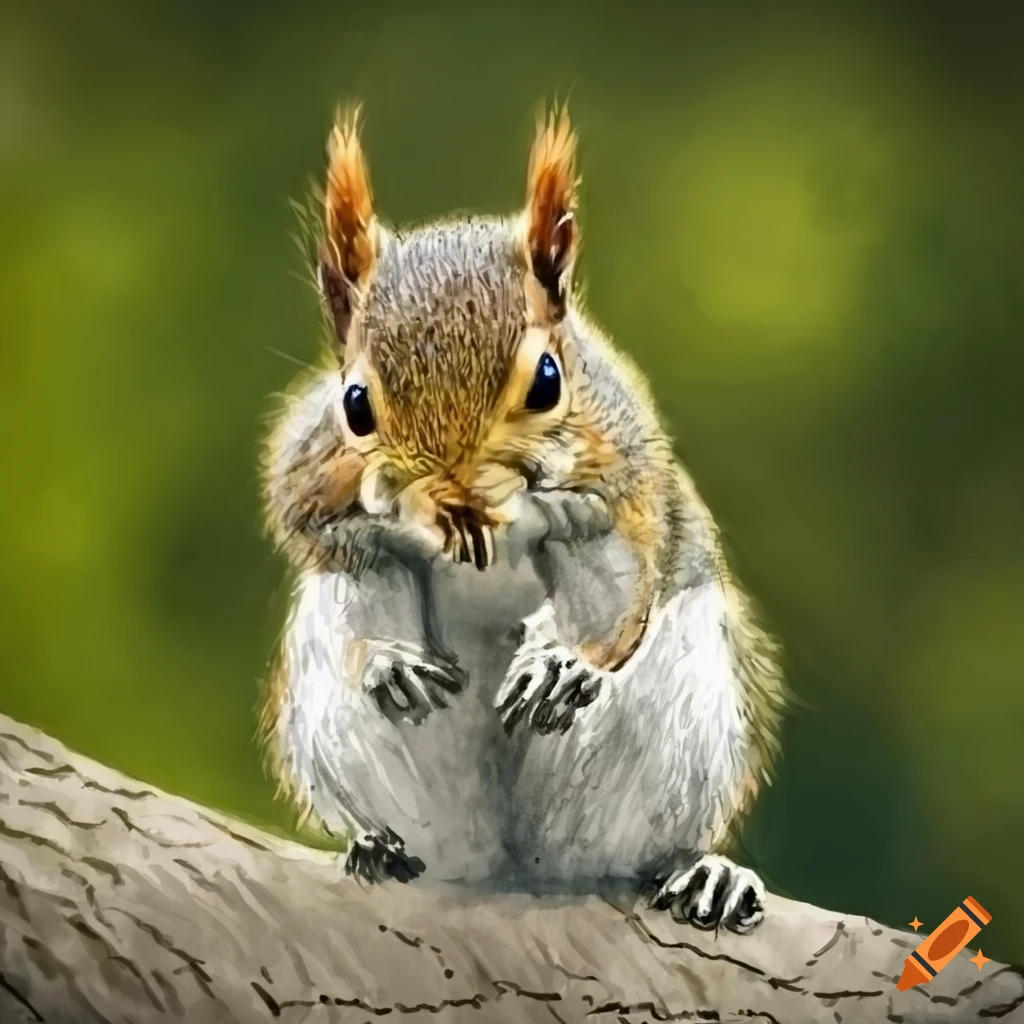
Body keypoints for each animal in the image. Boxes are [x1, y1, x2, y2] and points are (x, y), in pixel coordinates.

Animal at [258, 102, 786, 933]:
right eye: (354, 404)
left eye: (547, 379)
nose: (456, 494)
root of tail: (509, 865)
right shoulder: (316, 489)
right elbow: (349, 567)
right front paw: (387, 660)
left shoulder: (619, 486)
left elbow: (620, 585)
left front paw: (563, 658)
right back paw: (376, 844)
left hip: (682, 726)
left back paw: (705, 873)